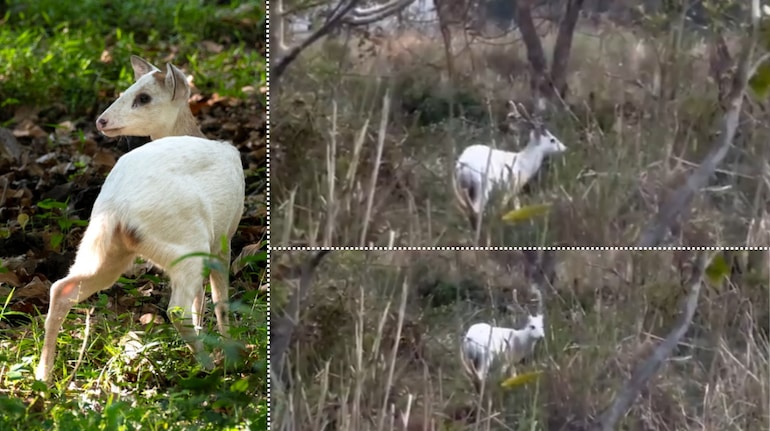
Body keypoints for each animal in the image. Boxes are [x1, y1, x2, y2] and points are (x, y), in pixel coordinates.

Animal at [34, 55, 245, 383]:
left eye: (143, 97)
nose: (101, 121)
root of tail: (115, 208)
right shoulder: (224, 236)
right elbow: (218, 298)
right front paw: (230, 350)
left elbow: (201, 300)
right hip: (185, 243)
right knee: (176, 309)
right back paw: (209, 367)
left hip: (103, 249)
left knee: (61, 288)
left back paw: (43, 375)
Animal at [452, 100, 567, 230]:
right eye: (552, 140)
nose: (564, 148)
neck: (524, 163)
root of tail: (462, 165)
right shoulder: (512, 186)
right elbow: (513, 207)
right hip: (482, 184)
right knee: (476, 208)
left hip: (459, 186)